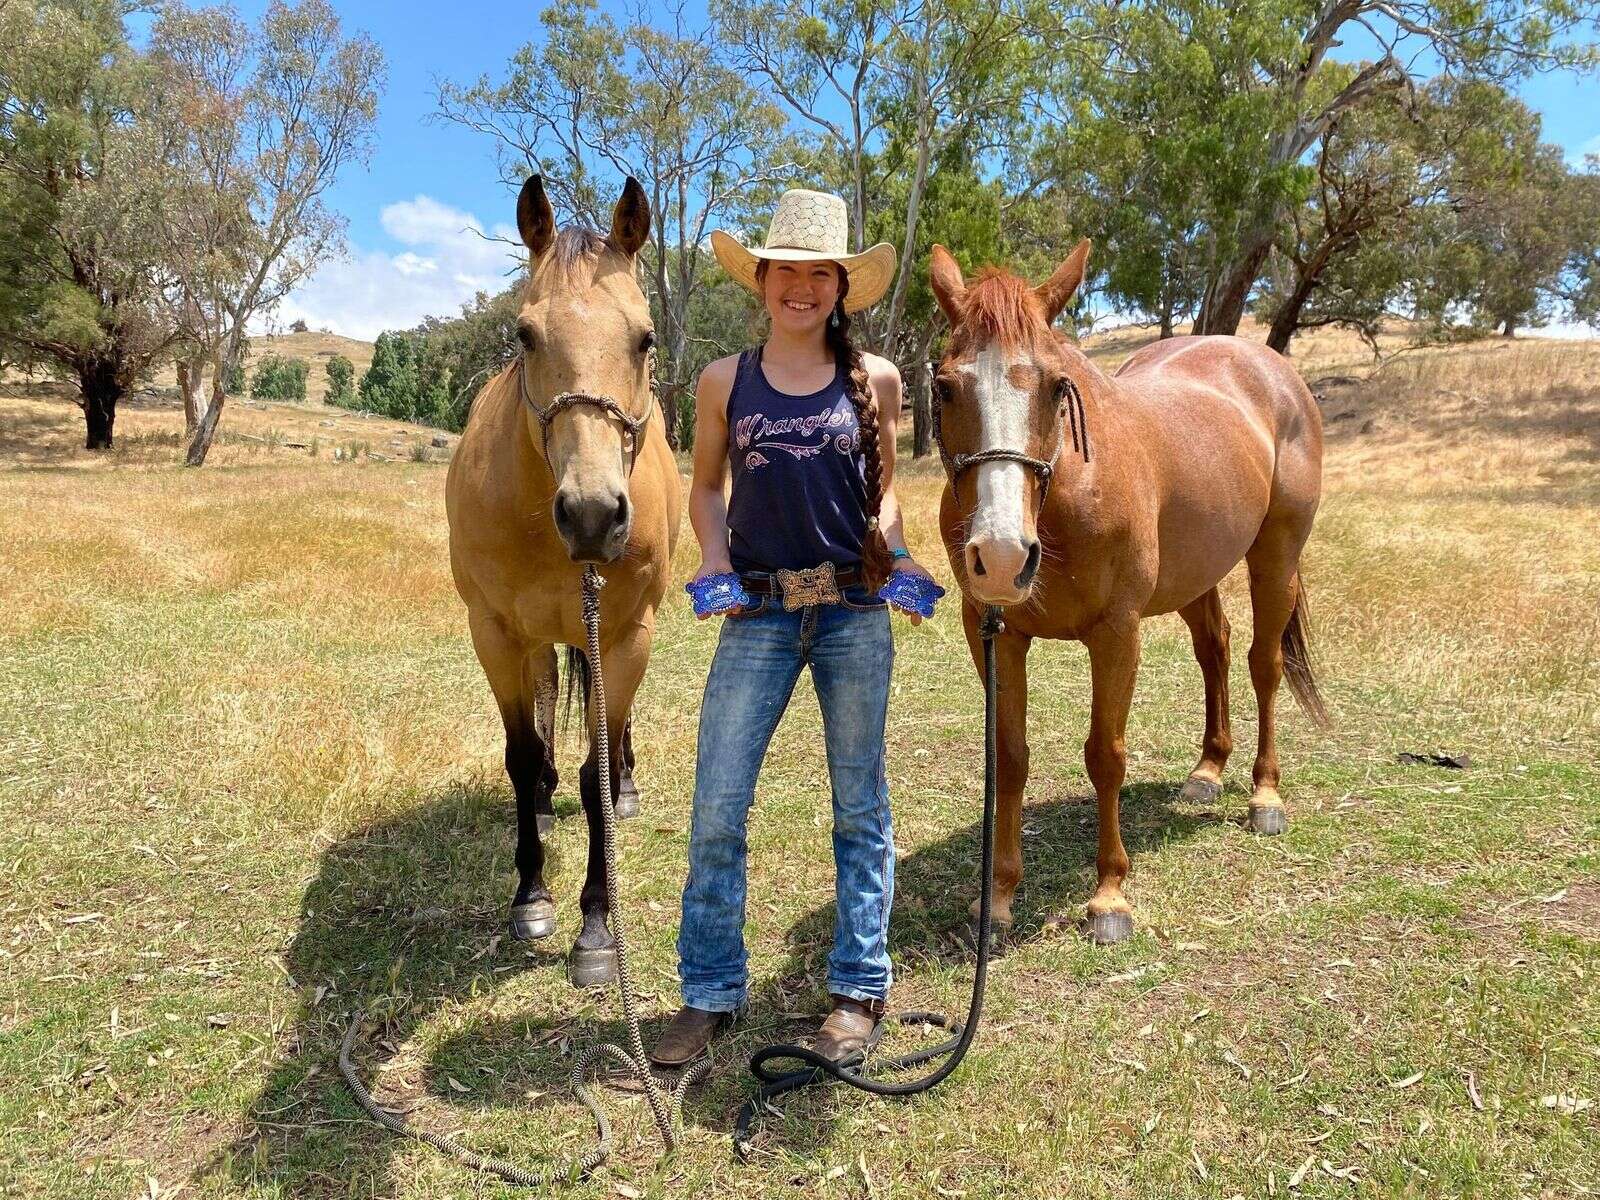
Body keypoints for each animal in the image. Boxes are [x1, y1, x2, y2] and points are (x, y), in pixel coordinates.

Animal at [445, 175, 681, 986]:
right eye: (524, 334)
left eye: (645, 338)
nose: (591, 513)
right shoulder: (494, 634)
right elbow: (522, 759)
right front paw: (531, 895)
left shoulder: (628, 635)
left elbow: (595, 773)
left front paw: (597, 927)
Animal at [926, 240, 1326, 946]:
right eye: (945, 386)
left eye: (1057, 387)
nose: (1001, 556)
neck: (1065, 493)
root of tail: (1275, 371)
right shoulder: (994, 632)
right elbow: (1009, 757)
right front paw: (997, 897)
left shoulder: (1116, 632)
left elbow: (1106, 755)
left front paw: (1109, 896)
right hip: (1197, 572)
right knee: (1216, 649)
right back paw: (1208, 771)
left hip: (1275, 559)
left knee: (1265, 665)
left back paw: (1264, 795)